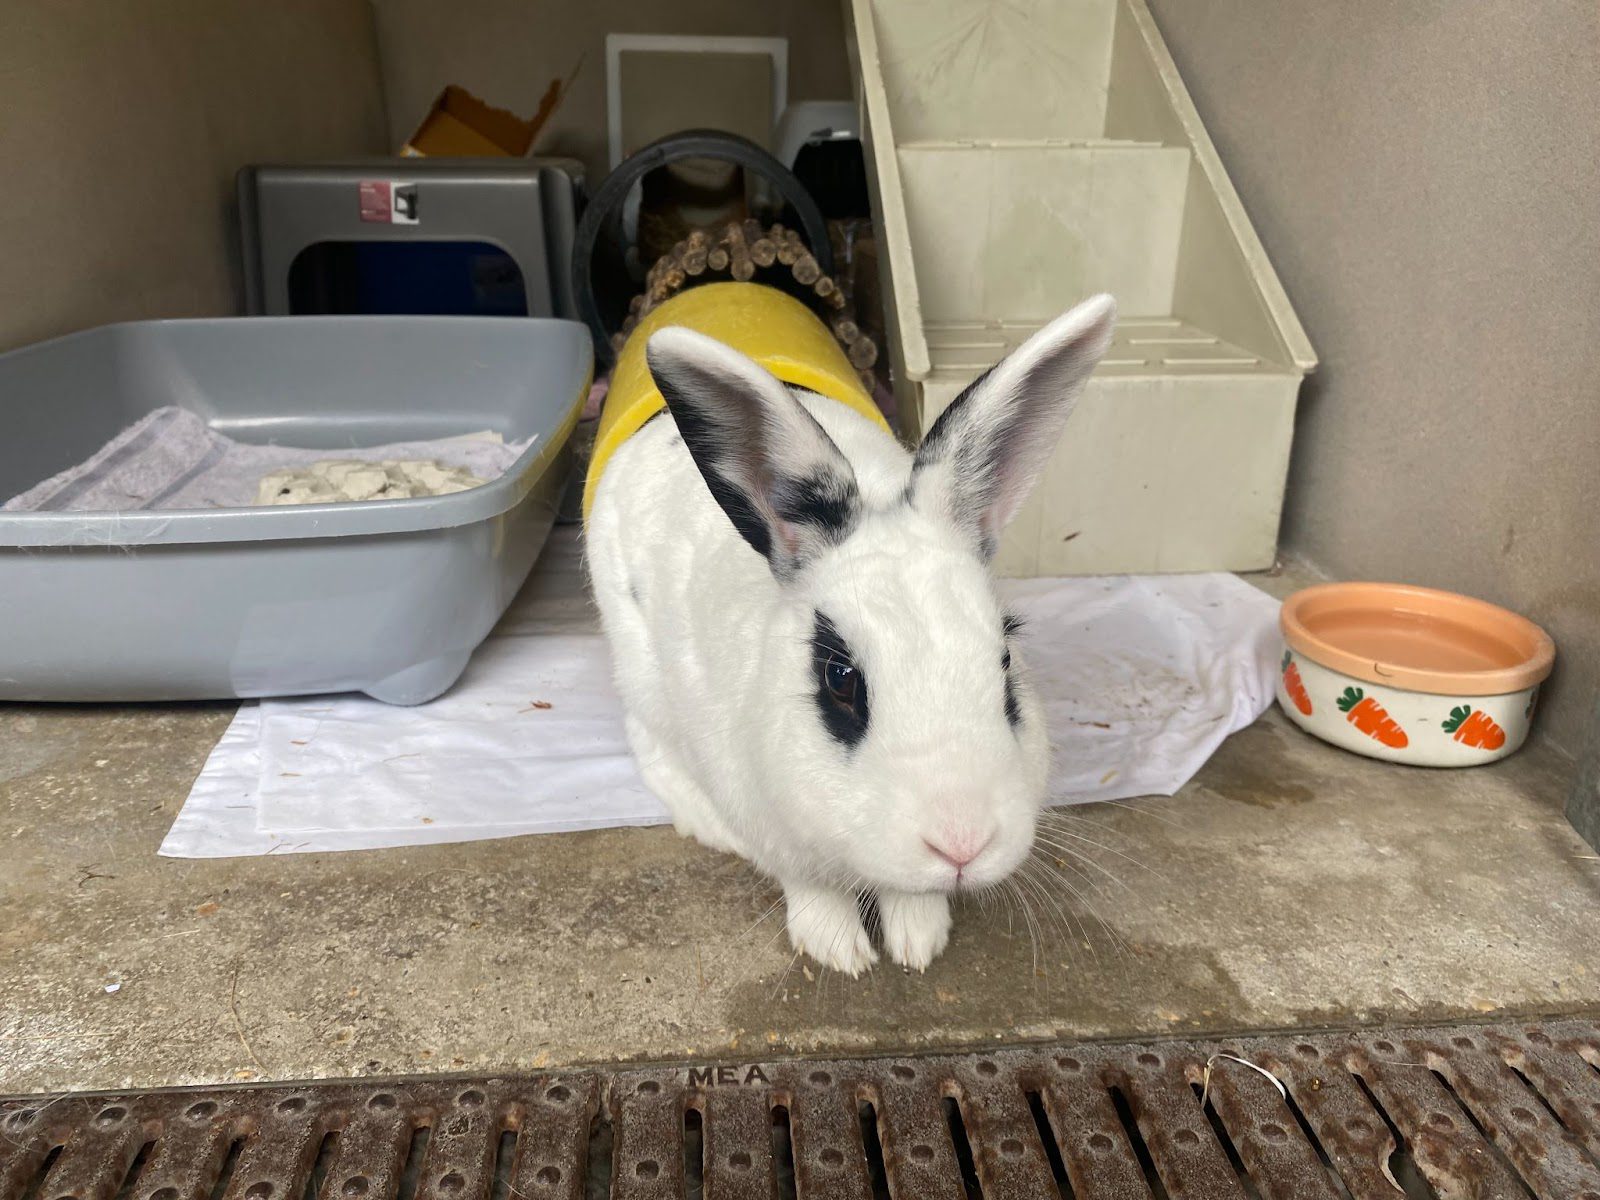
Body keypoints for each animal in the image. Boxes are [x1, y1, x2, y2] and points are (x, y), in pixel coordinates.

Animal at [586, 292, 1116, 973]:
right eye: (840, 679)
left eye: (1005, 662)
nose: (962, 843)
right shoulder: (774, 826)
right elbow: (811, 888)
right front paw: (841, 952)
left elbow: (908, 893)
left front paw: (919, 941)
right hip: (640, 674)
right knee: (649, 743)